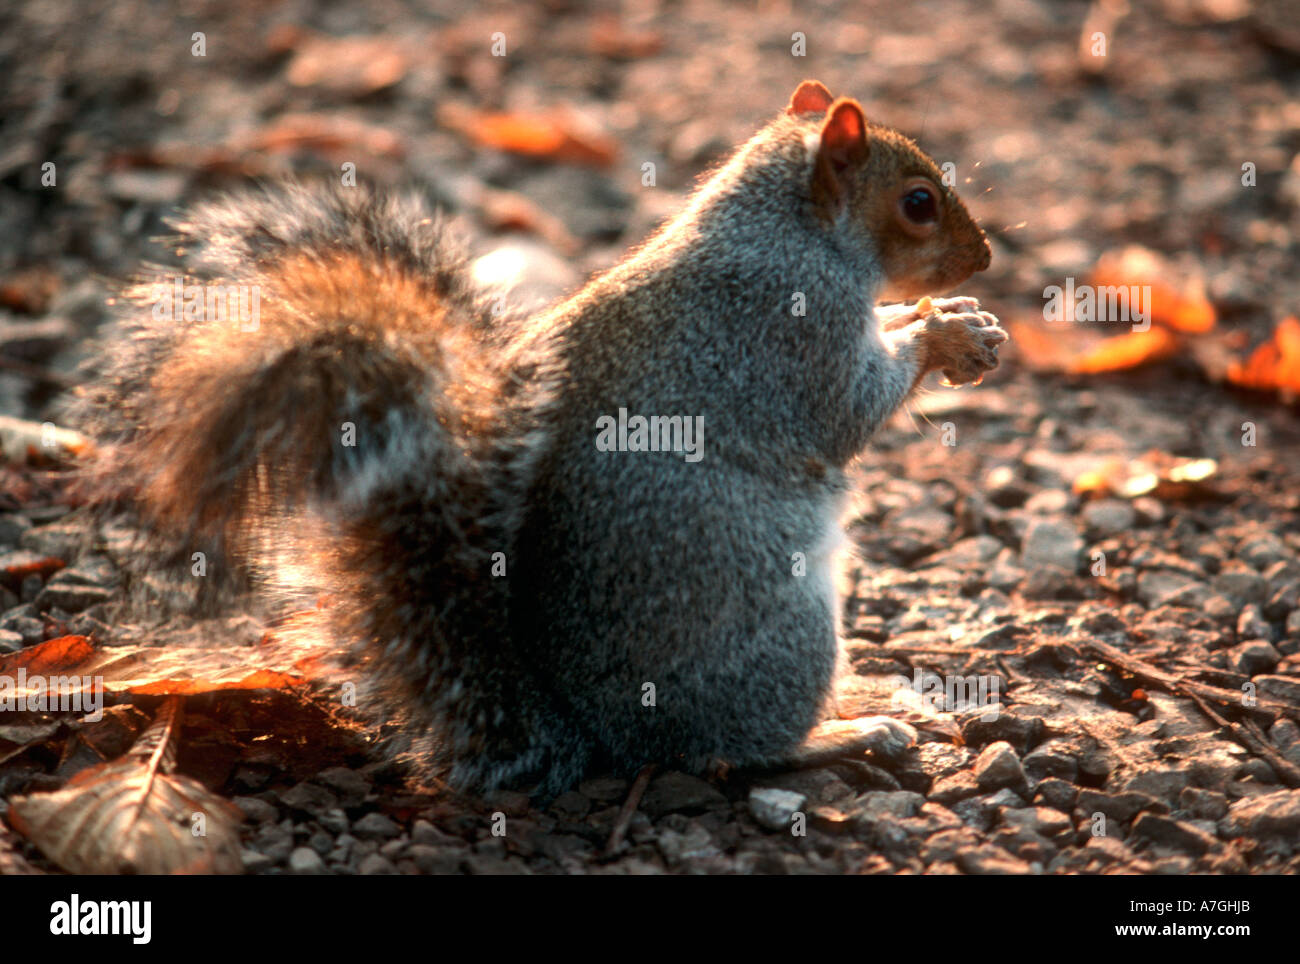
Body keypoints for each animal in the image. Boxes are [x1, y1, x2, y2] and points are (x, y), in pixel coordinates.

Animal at [75, 80, 1006, 798]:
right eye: (919, 204)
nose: (988, 261)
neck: (788, 228)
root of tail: (594, 733)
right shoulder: (788, 332)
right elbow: (852, 407)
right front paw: (942, 332)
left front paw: (952, 318)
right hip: (781, 627)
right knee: (728, 750)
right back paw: (853, 731)